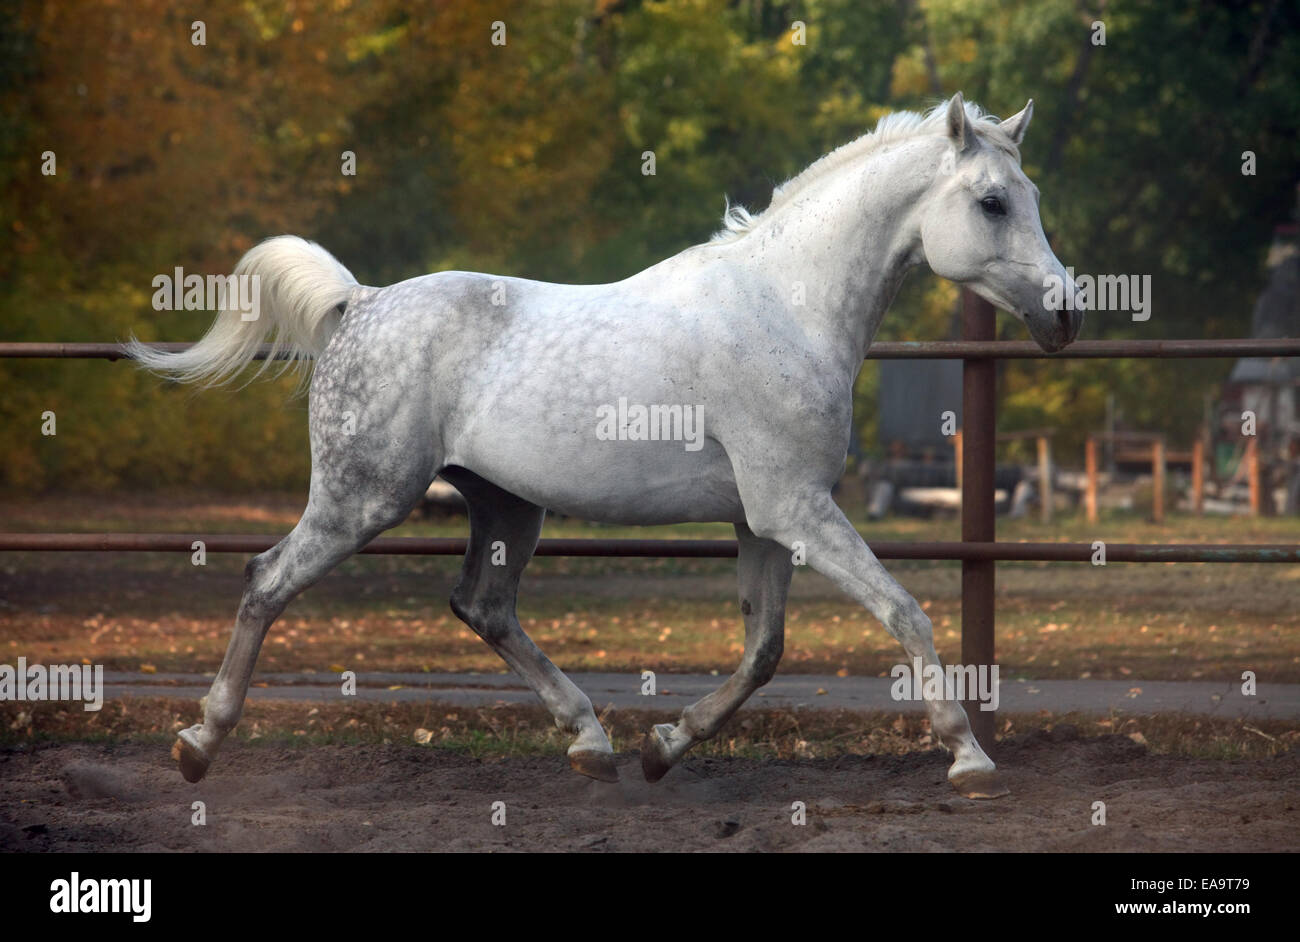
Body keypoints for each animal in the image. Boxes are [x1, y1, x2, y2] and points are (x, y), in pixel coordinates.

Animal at [129, 93, 1081, 798]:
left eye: (1034, 198)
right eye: (993, 202)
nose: (1067, 315)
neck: (787, 307)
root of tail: (358, 303)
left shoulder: (766, 521)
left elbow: (764, 652)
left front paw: (666, 744)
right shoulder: (798, 510)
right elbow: (904, 611)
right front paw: (969, 757)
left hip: (506, 506)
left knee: (482, 607)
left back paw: (592, 741)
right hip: (362, 498)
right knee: (267, 582)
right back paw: (199, 743)